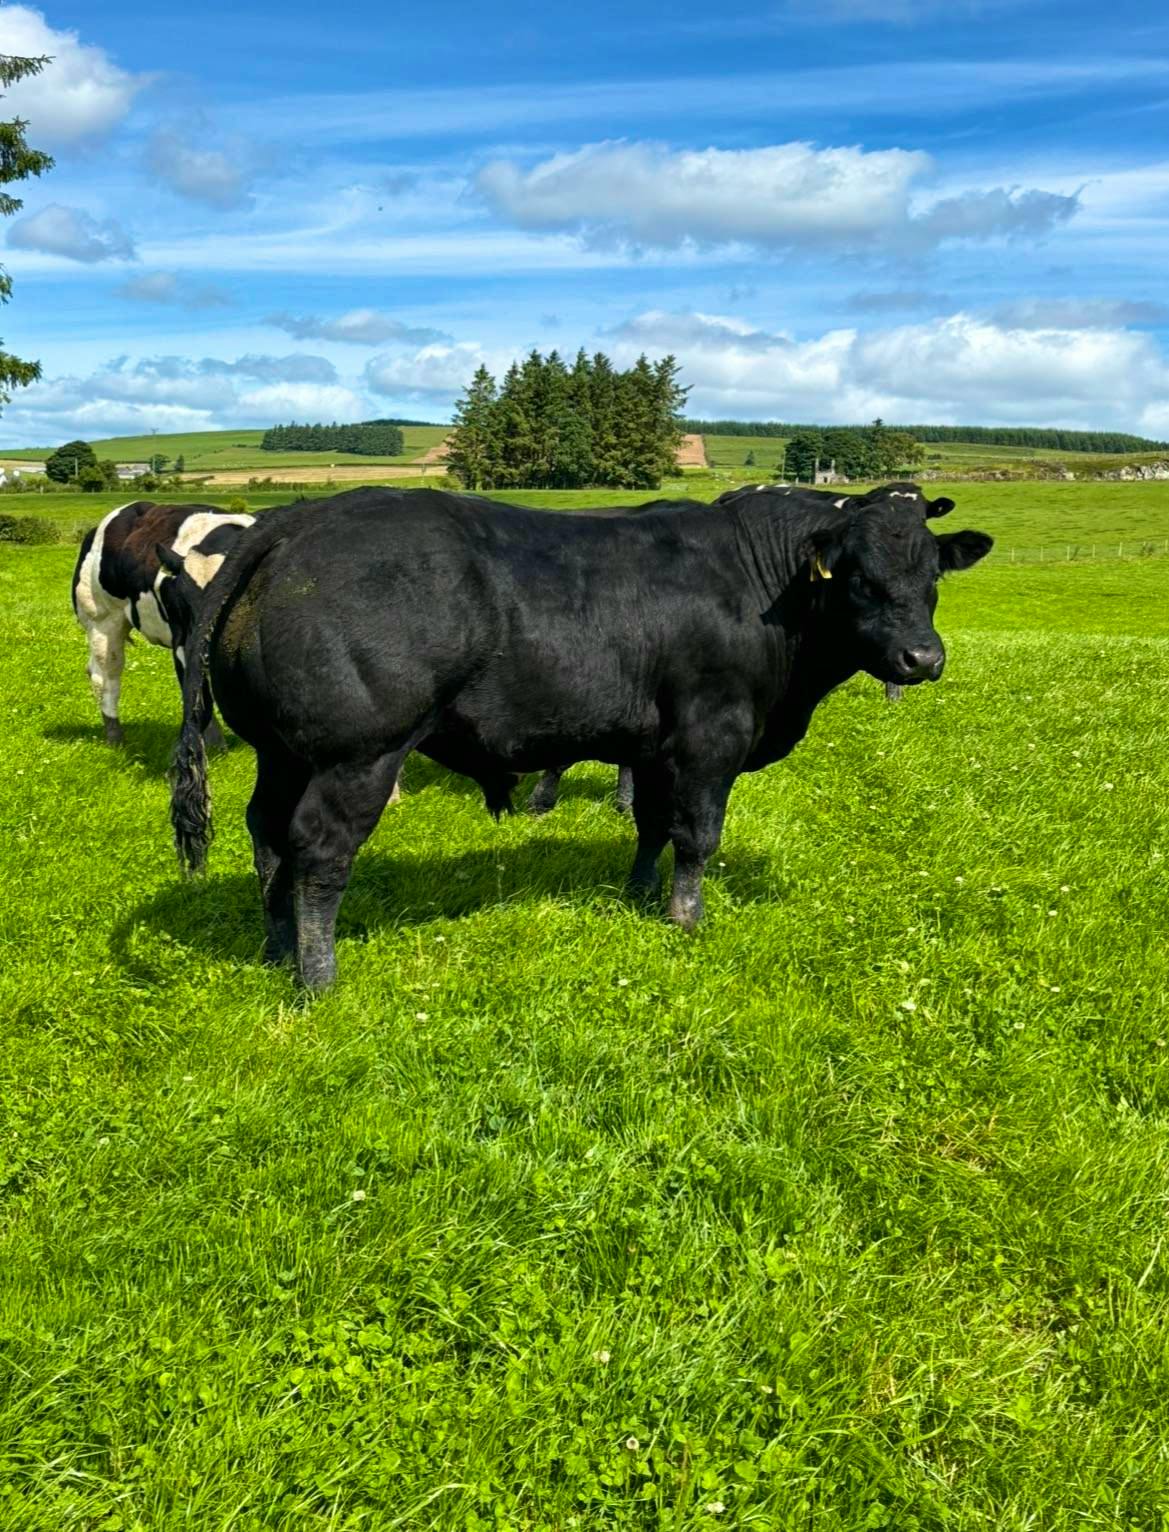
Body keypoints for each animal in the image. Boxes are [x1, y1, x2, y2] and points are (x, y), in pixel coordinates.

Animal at [168, 484, 991, 990]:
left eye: (932, 573)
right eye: (857, 576)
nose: (922, 658)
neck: (761, 586)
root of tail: (299, 519)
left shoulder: (655, 745)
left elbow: (651, 825)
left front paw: (637, 895)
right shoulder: (711, 738)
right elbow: (697, 836)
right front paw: (685, 919)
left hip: (282, 753)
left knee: (267, 835)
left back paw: (276, 949)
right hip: (355, 758)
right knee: (316, 853)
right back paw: (317, 976)